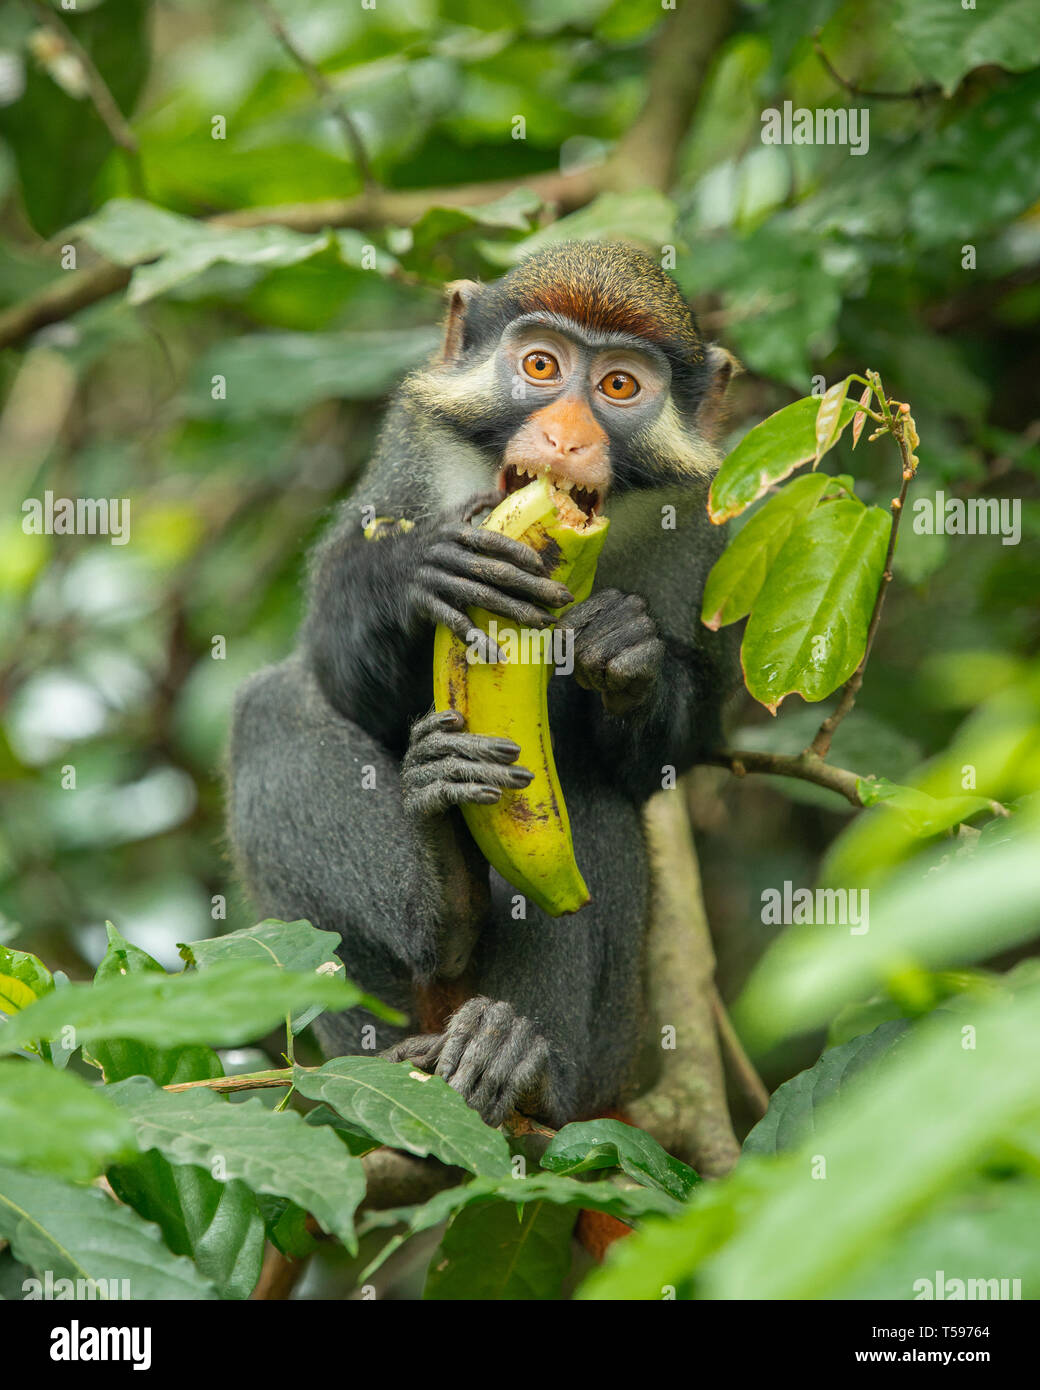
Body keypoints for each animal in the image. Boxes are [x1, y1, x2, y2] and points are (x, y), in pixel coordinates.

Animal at [227, 241, 737, 1130]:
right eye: (540, 365)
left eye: (619, 386)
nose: (565, 438)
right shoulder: (407, 448)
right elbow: (331, 668)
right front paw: (414, 570)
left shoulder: (704, 526)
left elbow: (662, 759)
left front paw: (626, 653)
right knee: (271, 708)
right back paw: (444, 906)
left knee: (578, 780)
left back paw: (525, 1063)